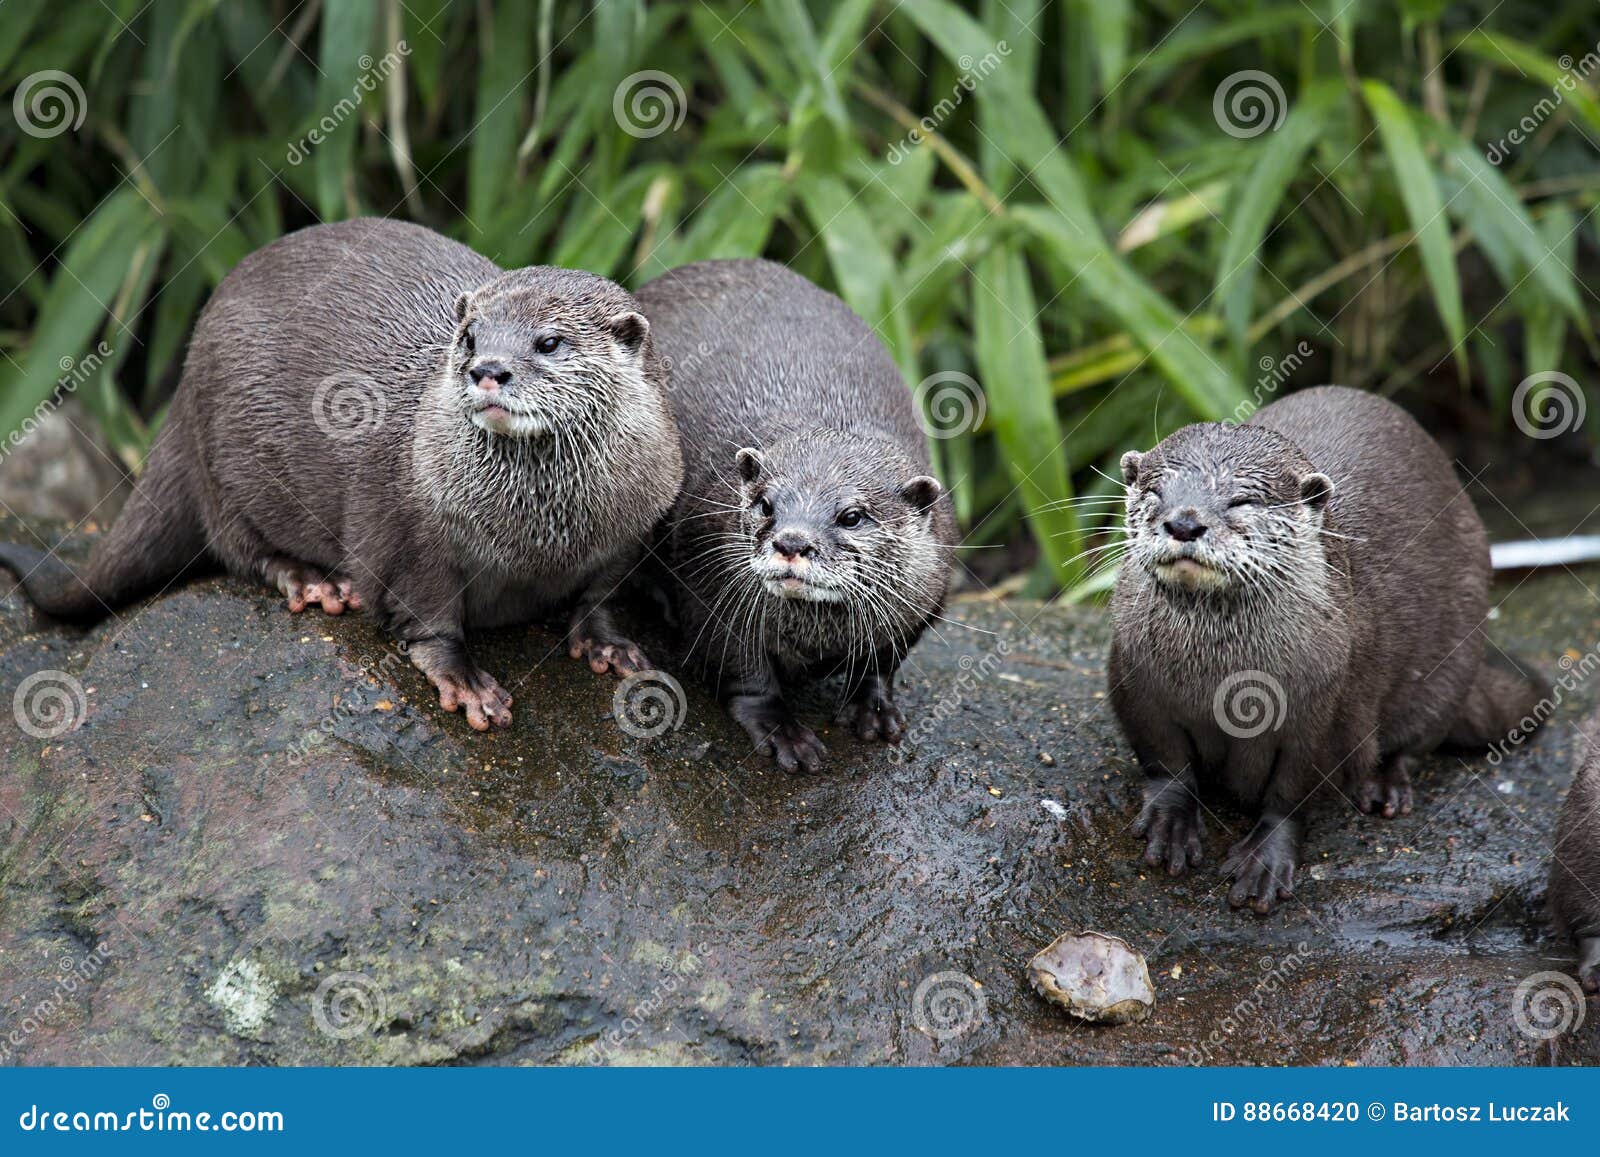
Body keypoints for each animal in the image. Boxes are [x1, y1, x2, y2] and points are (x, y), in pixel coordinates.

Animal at [0, 219, 683, 730]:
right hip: (224, 457)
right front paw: (464, 681)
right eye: (468, 336)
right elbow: (427, 615)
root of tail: (189, 373)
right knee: (234, 544)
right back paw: (310, 580)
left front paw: (606, 642)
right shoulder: (412, 533)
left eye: (548, 343)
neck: (544, 535)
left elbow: (600, 594)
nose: (486, 368)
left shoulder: (633, 526)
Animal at [634, 259, 956, 772]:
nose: (791, 542)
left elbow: (884, 660)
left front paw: (873, 708)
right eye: (766, 504)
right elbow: (742, 669)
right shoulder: (711, 587)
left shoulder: (928, 595)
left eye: (851, 516)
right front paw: (783, 731)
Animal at [1110, 385, 1541, 912]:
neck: (1220, 681)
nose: (1184, 523)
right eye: (1156, 493)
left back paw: (1385, 786)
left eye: (1240, 501)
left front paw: (1266, 859)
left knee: (1416, 741)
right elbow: (1164, 760)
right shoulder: (1135, 684)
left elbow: (1294, 794)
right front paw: (1171, 822)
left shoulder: (1331, 713)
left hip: (1452, 664)